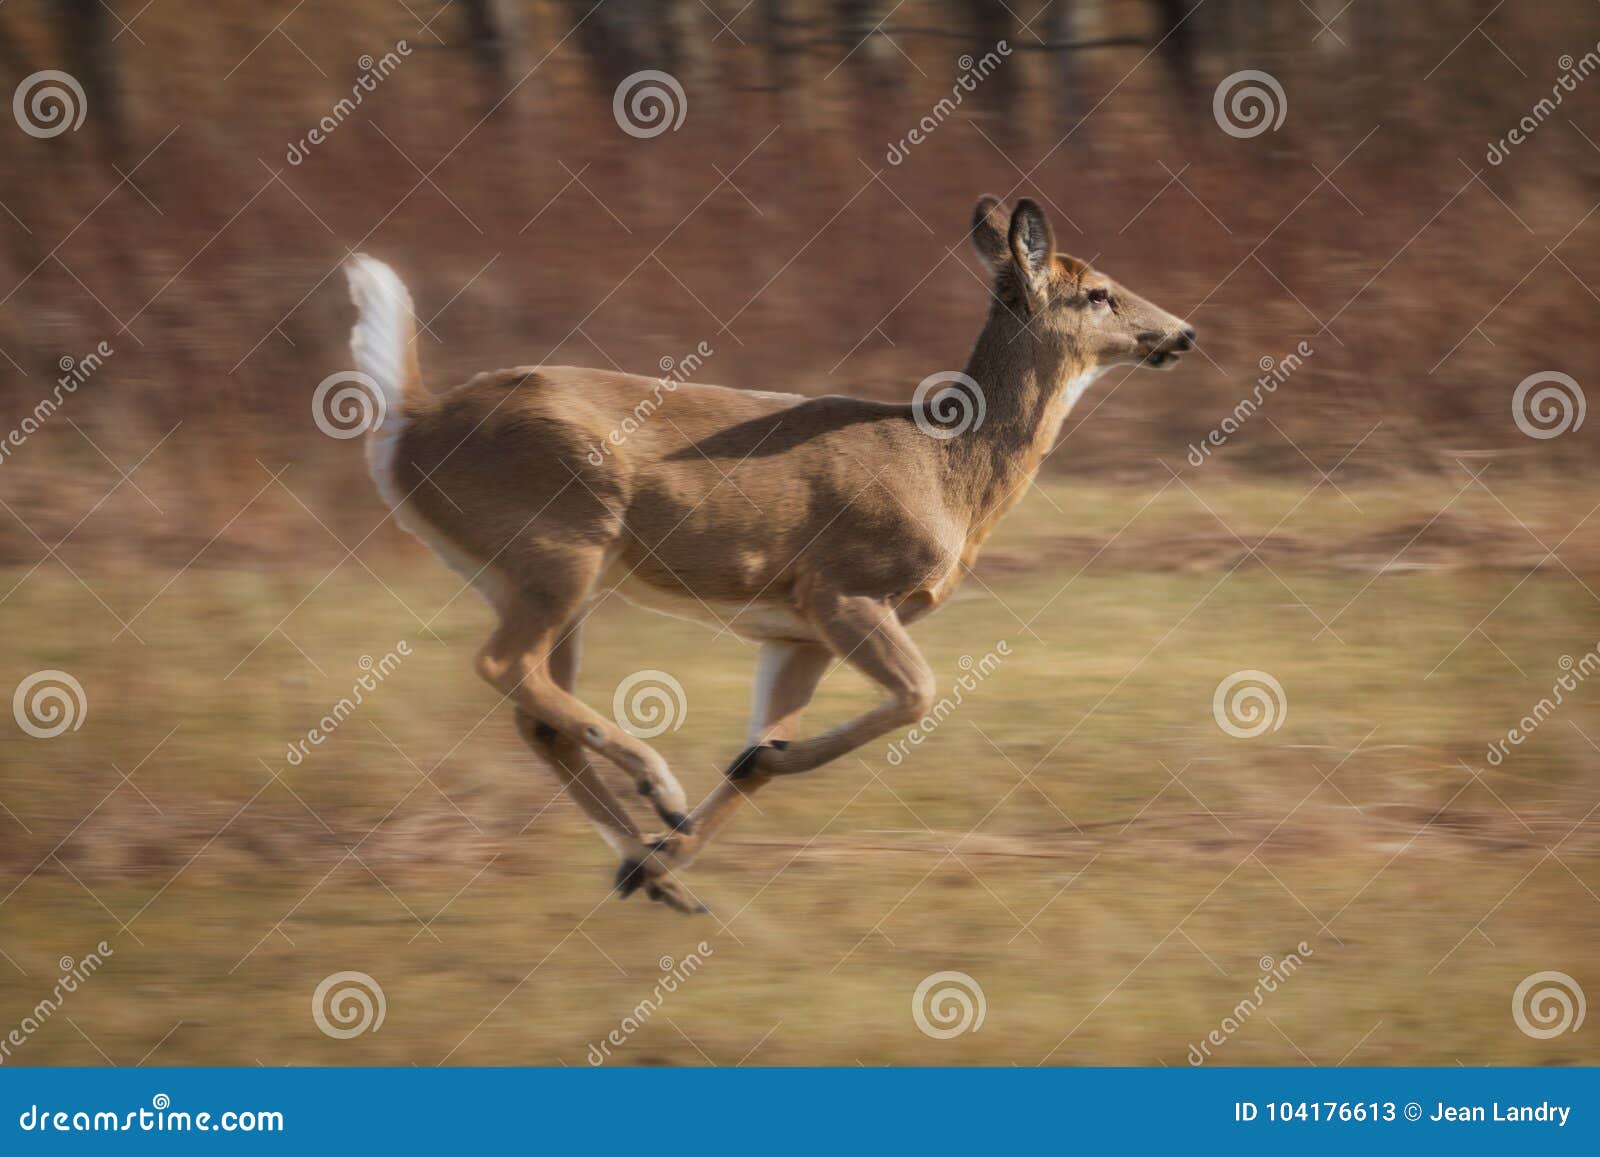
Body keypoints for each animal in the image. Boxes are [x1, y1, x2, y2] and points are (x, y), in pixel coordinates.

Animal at [341, 196, 1195, 914]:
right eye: (1099, 293)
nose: (1184, 332)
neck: (950, 468)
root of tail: (410, 426)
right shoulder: (841, 587)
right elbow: (919, 694)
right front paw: (715, 794)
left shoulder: (794, 631)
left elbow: (770, 740)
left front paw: (693, 826)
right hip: (561, 542)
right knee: (501, 664)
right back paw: (658, 784)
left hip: (536, 575)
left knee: (536, 713)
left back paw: (652, 868)